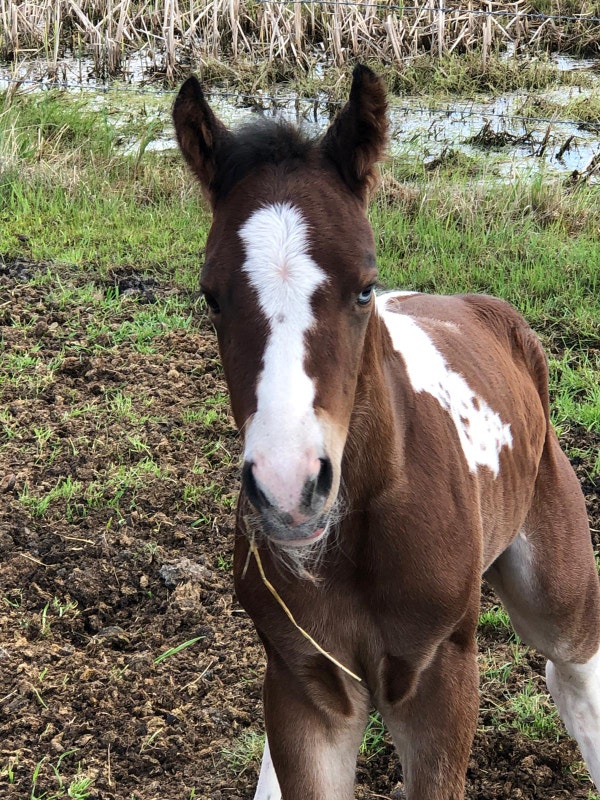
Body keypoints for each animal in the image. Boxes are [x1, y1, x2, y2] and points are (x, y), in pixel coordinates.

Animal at [173, 65, 600, 800]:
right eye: (211, 295)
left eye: (364, 287)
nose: (288, 490)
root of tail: (486, 309)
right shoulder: (306, 685)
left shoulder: (439, 681)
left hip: (557, 585)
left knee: (571, 667)